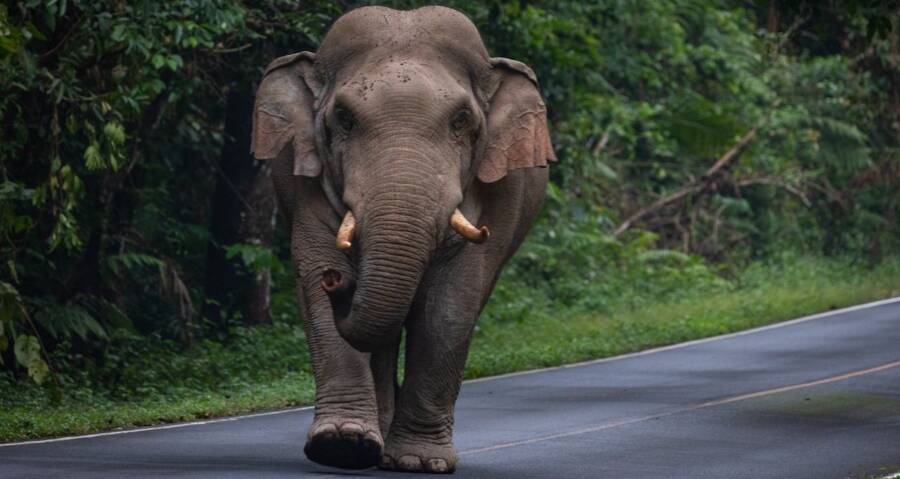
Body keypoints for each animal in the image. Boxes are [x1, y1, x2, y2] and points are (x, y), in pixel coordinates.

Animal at [251, 5, 555, 474]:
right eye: (343, 118)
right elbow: (316, 273)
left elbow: (450, 304)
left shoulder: (499, 195)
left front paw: (418, 461)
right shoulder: (302, 181)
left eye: (462, 120)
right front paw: (342, 445)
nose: (339, 281)